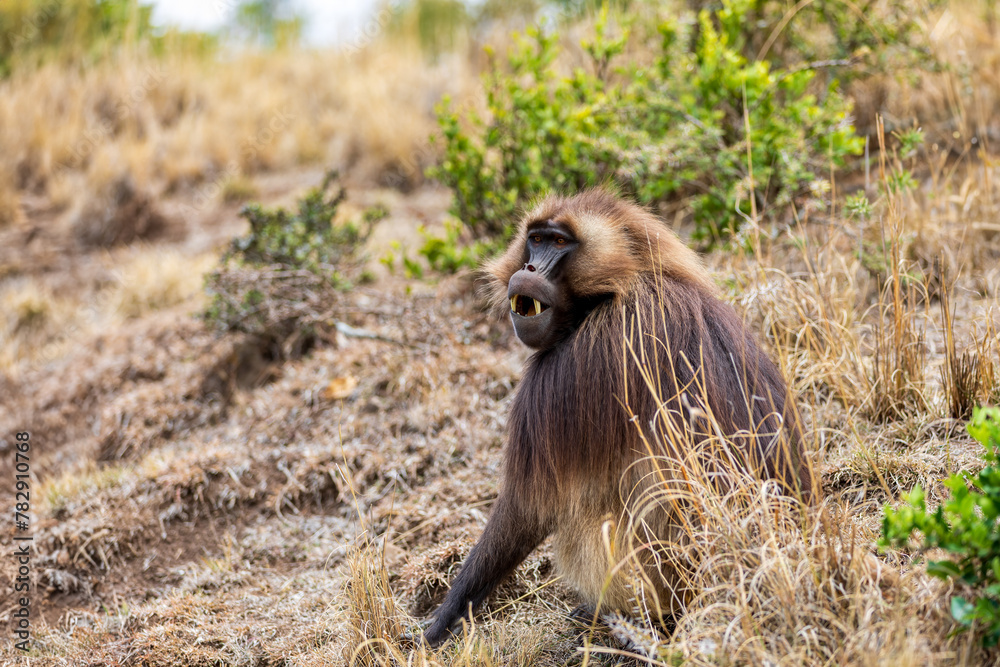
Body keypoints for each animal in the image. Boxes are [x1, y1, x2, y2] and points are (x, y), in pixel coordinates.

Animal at [422, 189, 814, 646]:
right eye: (535, 239)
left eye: (559, 243)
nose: (529, 269)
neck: (621, 284)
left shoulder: (565, 370)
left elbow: (525, 510)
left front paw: (439, 624)